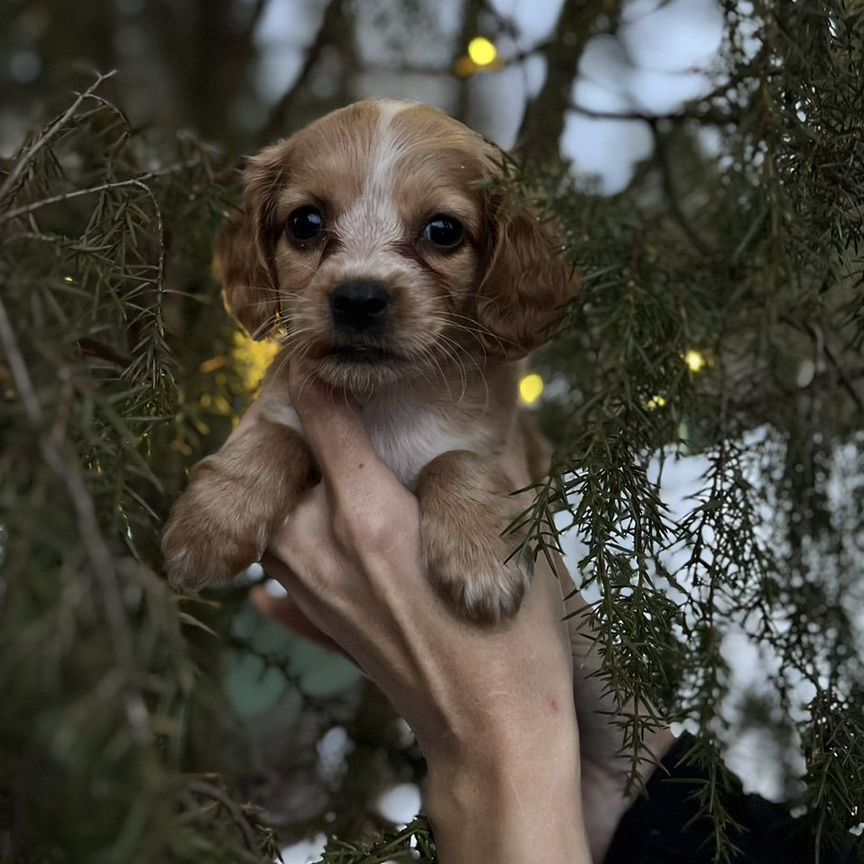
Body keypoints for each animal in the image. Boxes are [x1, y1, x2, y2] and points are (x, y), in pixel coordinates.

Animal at [164, 101, 580, 624]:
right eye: (305, 222)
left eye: (443, 230)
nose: (358, 300)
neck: (383, 402)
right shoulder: (279, 407)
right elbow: (274, 435)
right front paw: (210, 524)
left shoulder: (511, 442)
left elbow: (455, 457)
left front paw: (482, 555)